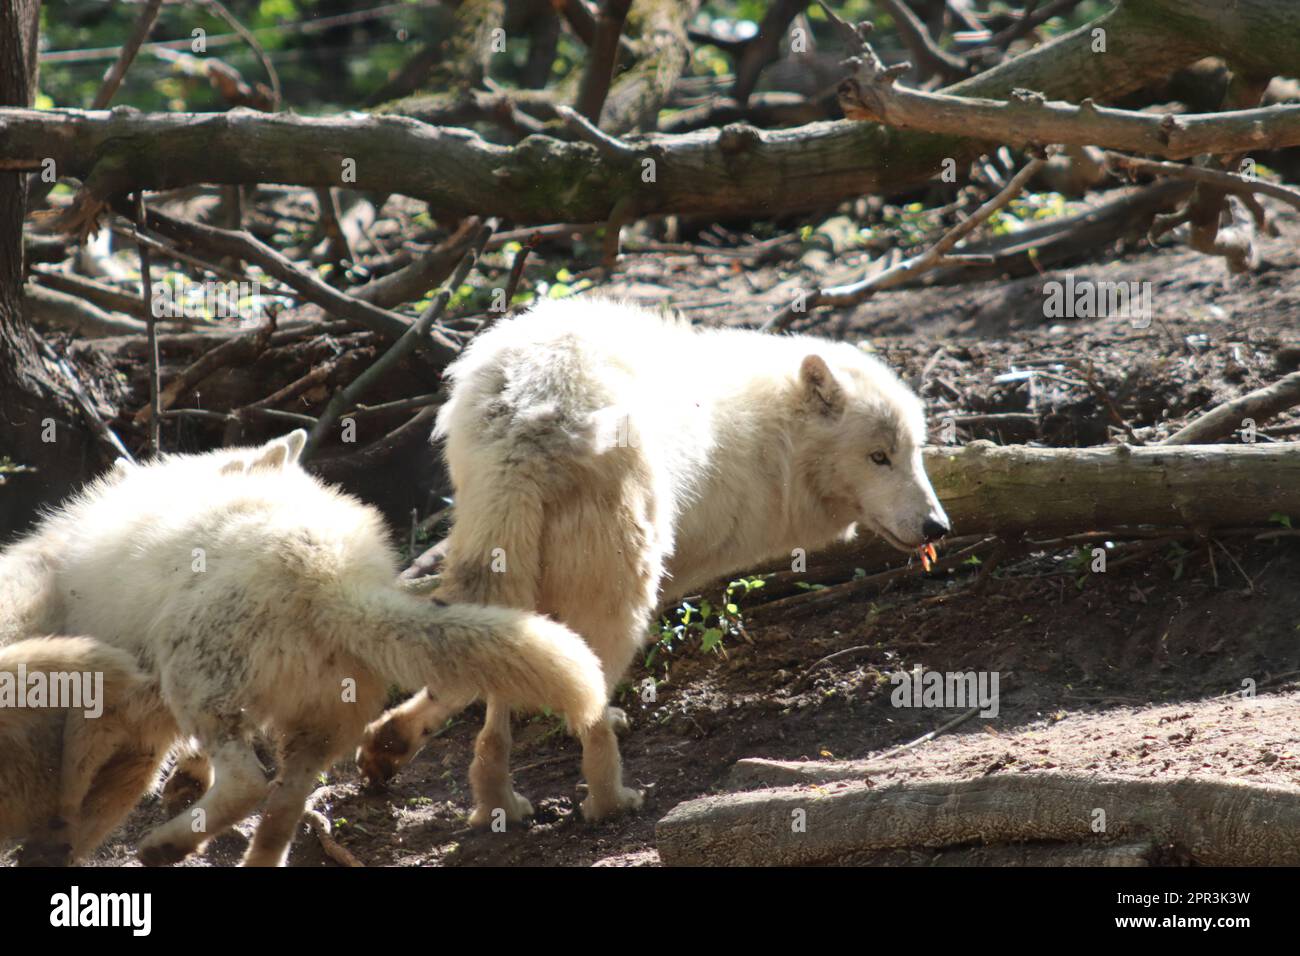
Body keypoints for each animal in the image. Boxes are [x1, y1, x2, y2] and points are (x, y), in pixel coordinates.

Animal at [0, 431, 606, 866]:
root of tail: (332, 576)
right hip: (312, 734)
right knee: (279, 816)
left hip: (195, 683)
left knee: (248, 784)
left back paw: (164, 846)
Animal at [359, 297, 950, 825]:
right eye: (879, 457)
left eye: (916, 452)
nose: (937, 528)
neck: (766, 441)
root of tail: (527, 421)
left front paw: (390, 741)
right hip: (627, 592)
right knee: (587, 708)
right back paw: (610, 802)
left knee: (494, 701)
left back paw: (491, 804)